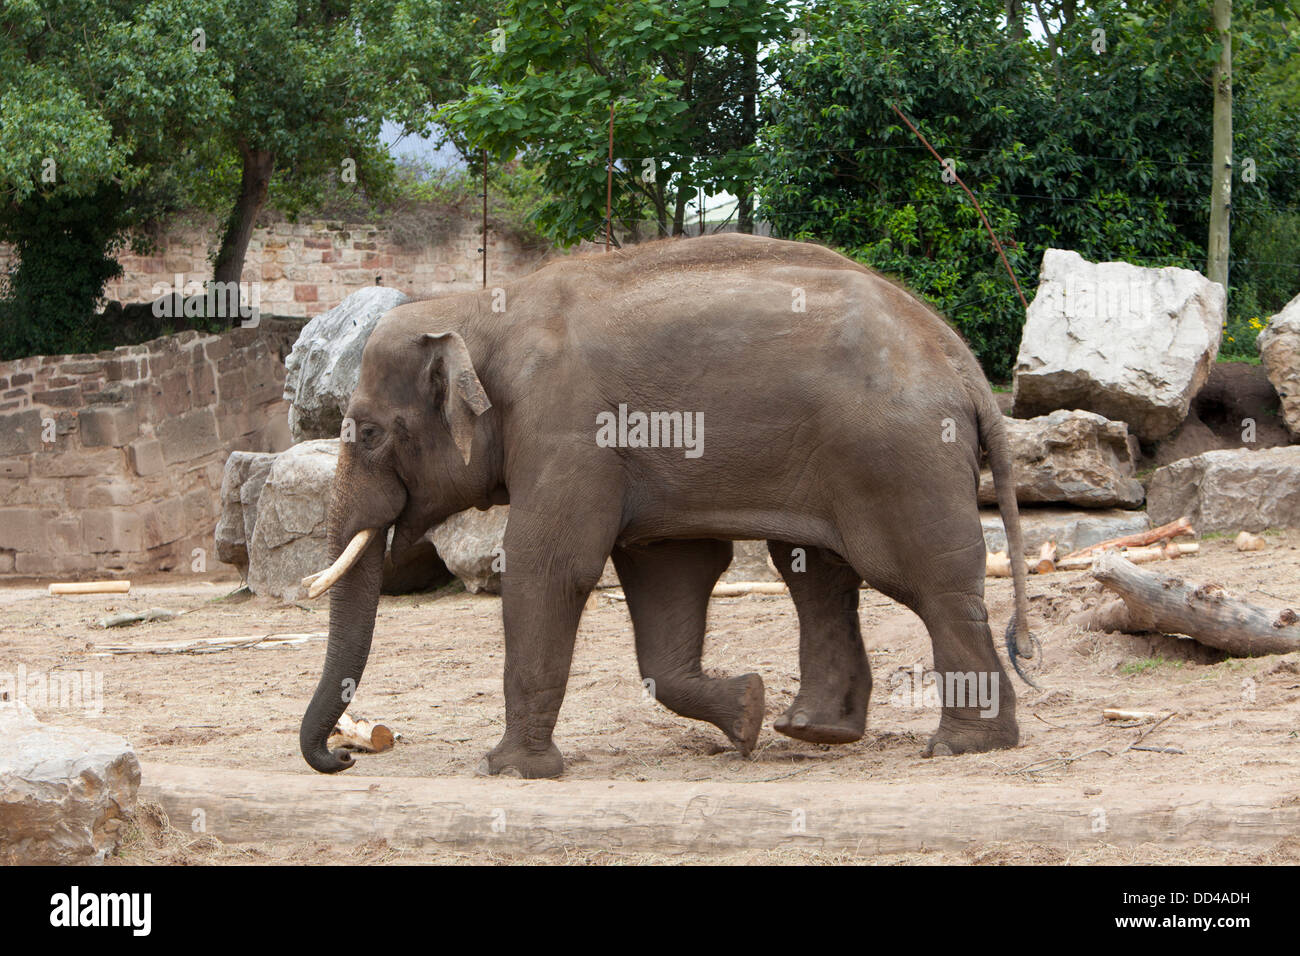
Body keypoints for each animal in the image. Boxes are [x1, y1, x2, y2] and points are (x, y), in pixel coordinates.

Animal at [299, 232, 1035, 778]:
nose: (344, 755)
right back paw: (812, 730)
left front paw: (511, 771)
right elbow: (669, 573)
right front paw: (746, 713)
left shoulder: (569, 427)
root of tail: (964, 363)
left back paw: (963, 746)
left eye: (368, 433)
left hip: (901, 456)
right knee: (816, 573)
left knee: (926, 581)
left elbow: (549, 566)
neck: (481, 308)